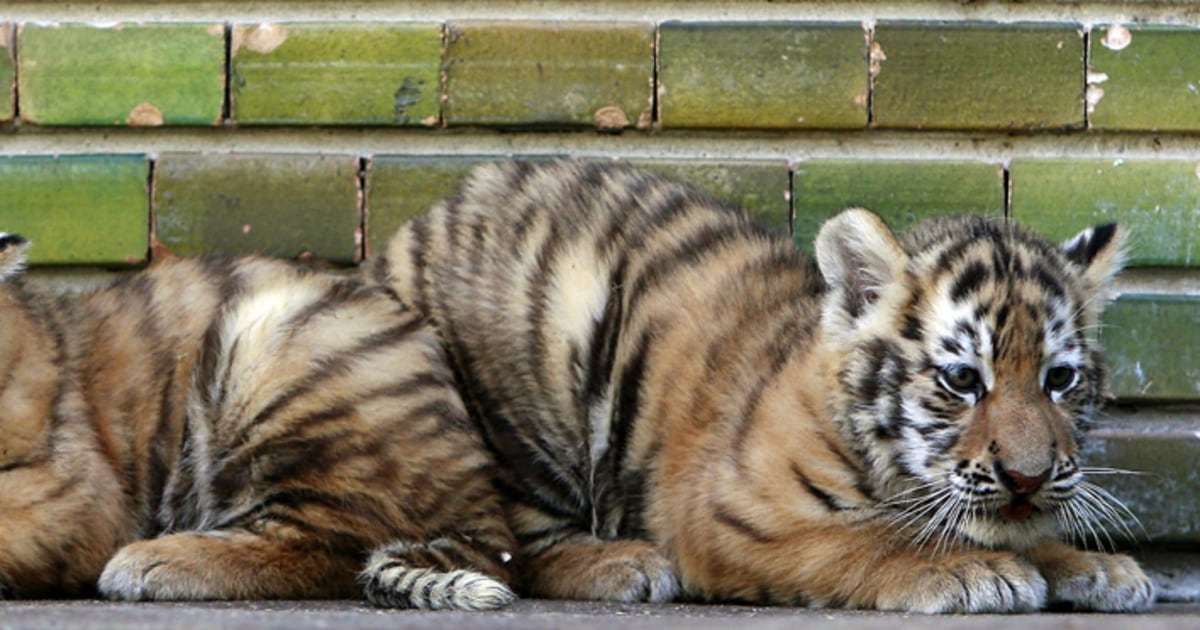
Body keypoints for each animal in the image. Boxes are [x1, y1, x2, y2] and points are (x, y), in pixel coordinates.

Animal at [369, 159, 1155, 613]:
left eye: (1059, 379)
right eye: (963, 379)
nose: (1028, 477)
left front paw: (1095, 568)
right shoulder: (730, 519)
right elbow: (861, 541)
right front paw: (972, 572)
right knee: (516, 543)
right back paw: (621, 561)